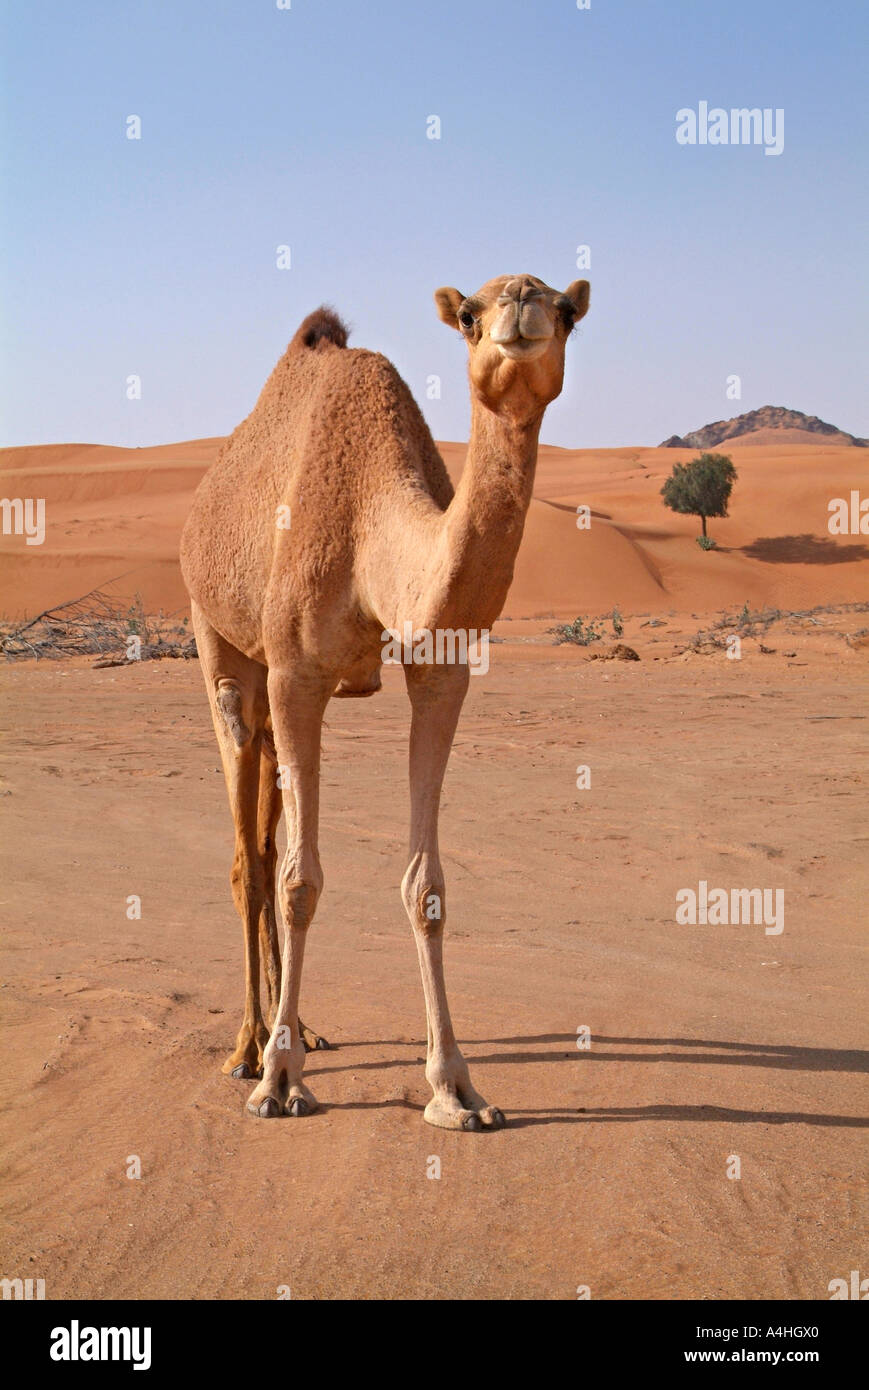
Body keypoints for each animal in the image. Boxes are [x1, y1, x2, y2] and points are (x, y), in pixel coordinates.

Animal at [179, 272, 590, 1129]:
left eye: (567, 311)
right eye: (468, 314)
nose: (521, 306)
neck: (373, 527)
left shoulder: (441, 670)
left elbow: (424, 885)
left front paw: (455, 1088)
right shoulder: (295, 672)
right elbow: (299, 880)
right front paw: (280, 1083)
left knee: (265, 836)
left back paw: (300, 1026)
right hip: (221, 644)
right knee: (246, 850)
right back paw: (248, 1045)